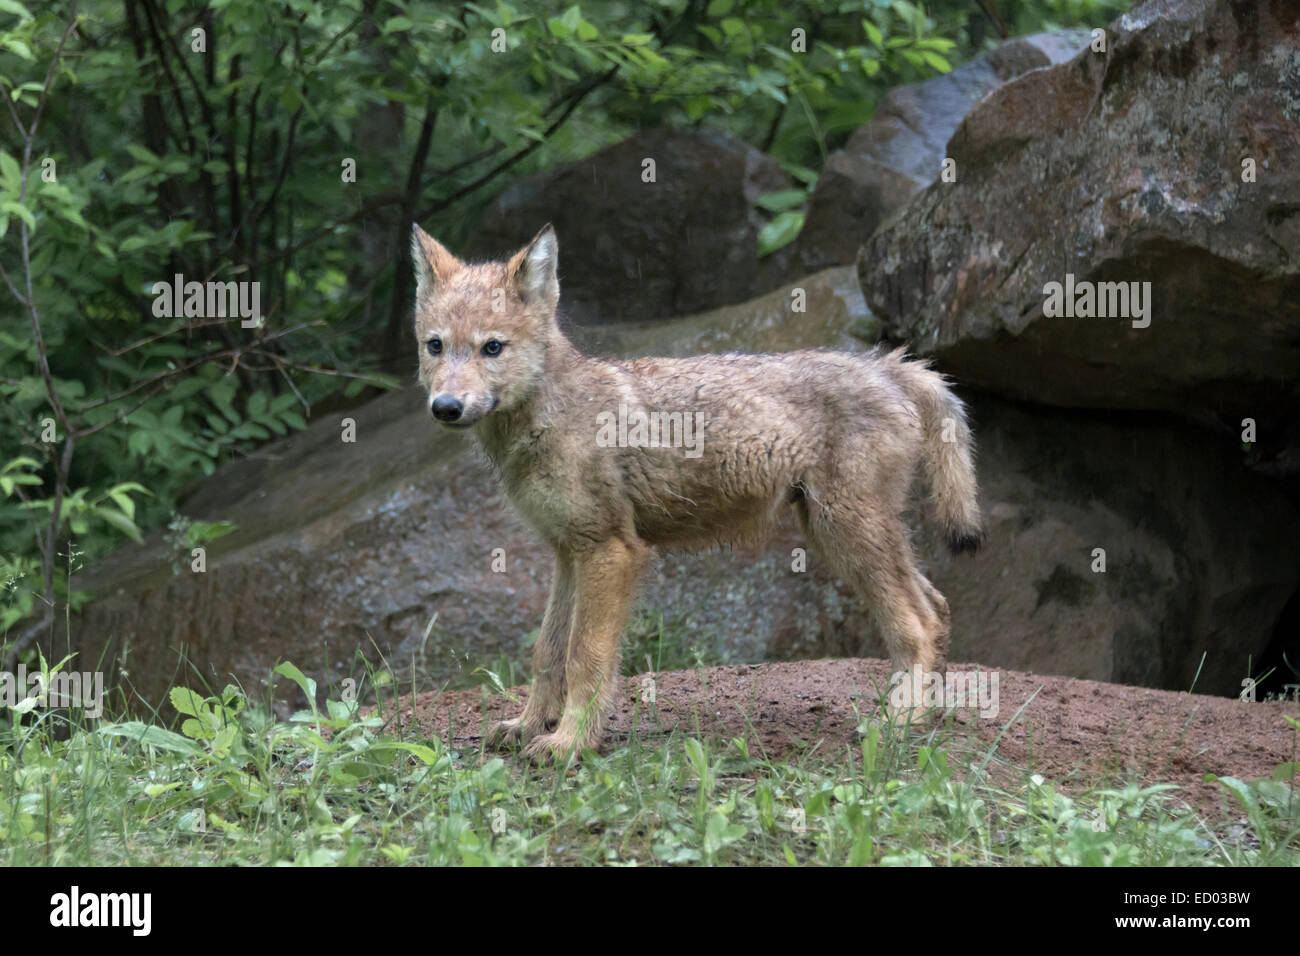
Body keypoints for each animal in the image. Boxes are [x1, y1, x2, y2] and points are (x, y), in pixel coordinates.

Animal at [411, 223, 982, 763]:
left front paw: (569, 745)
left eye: (492, 347)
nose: (445, 407)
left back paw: (900, 722)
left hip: (845, 535)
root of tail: (886, 365)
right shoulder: (566, 553)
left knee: (918, 622)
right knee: (937, 606)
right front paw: (529, 727)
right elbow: (547, 653)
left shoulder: (611, 552)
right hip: (841, 536)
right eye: (435, 346)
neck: (545, 419)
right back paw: (931, 712)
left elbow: (585, 657)